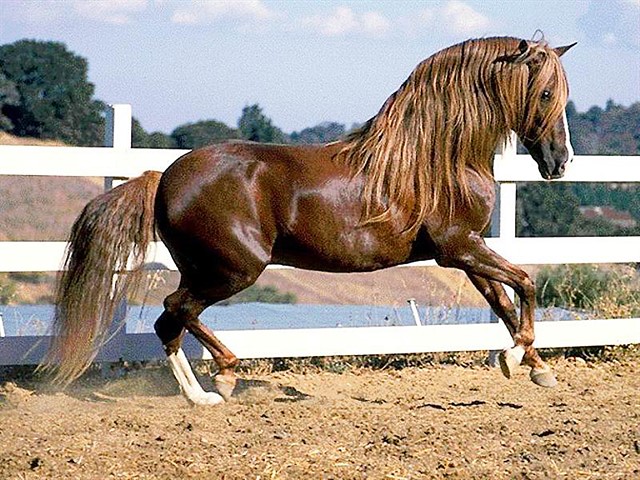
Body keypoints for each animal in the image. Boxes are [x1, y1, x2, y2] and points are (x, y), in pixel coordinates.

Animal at [45, 36, 575, 405]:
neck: (436, 160)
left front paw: (535, 367)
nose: (560, 162)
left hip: (204, 267)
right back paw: (223, 377)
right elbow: (525, 284)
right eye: (547, 92)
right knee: (175, 311)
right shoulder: (459, 247)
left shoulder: (466, 250)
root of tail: (165, 177)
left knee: (171, 322)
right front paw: (518, 357)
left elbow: (504, 303)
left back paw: (203, 393)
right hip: (234, 269)